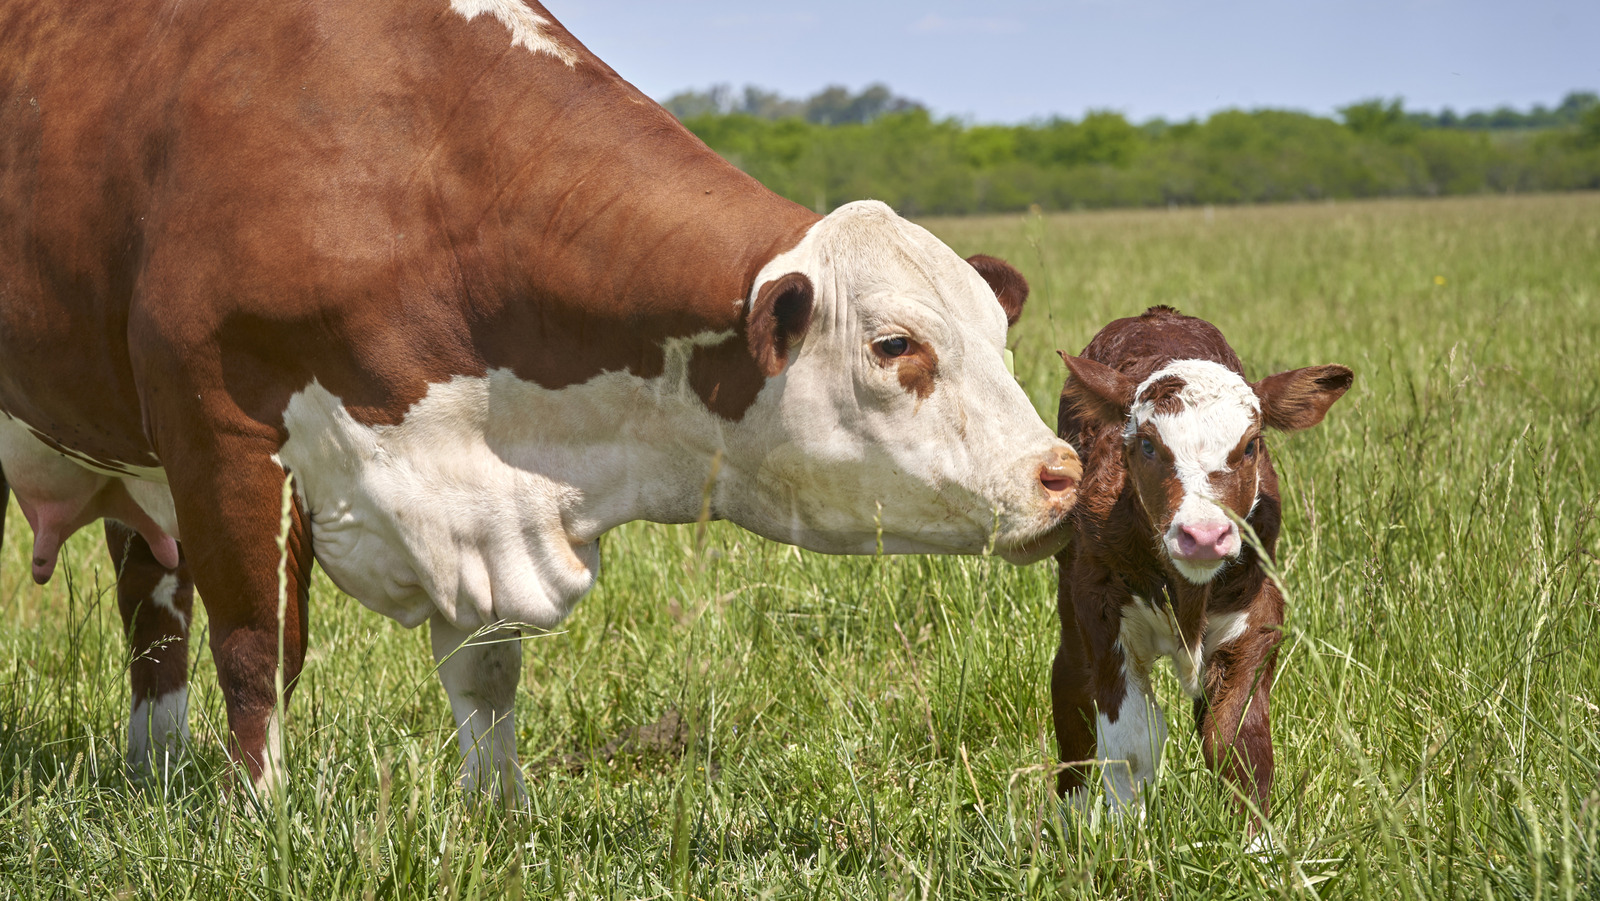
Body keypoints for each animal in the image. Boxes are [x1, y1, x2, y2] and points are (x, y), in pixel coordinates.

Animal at [0, 0, 1082, 801]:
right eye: (895, 344)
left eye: (997, 332)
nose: (1063, 473)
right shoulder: (216, 428)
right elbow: (257, 647)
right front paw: (257, 815)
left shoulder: (480, 509)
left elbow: (486, 673)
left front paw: (498, 812)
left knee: (151, 612)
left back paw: (154, 772)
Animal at [1051, 306, 1351, 822]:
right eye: (1147, 445)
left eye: (1250, 446)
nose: (1204, 536)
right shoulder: (1099, 607)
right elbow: (1134, 742)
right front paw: (1126, 834)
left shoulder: (1257, 613)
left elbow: (1236, 741)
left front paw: (1258, 842)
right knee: (1070, 686)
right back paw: (1072, 814)